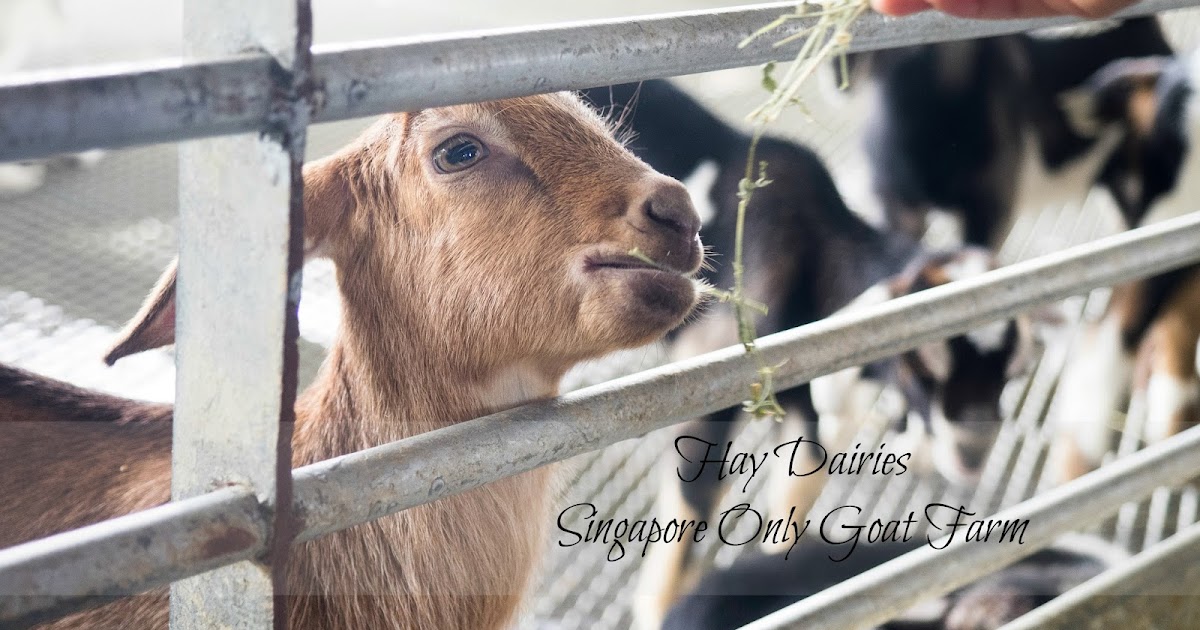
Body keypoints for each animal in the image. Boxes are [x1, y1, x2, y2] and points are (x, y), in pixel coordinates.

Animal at [581, 80, 1037, 629]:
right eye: (922, 366)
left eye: (1012, 371)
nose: (973, 451)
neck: (816, 254)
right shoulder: (708, 381)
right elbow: (694, 498)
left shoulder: (803, 394)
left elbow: (802, 481)